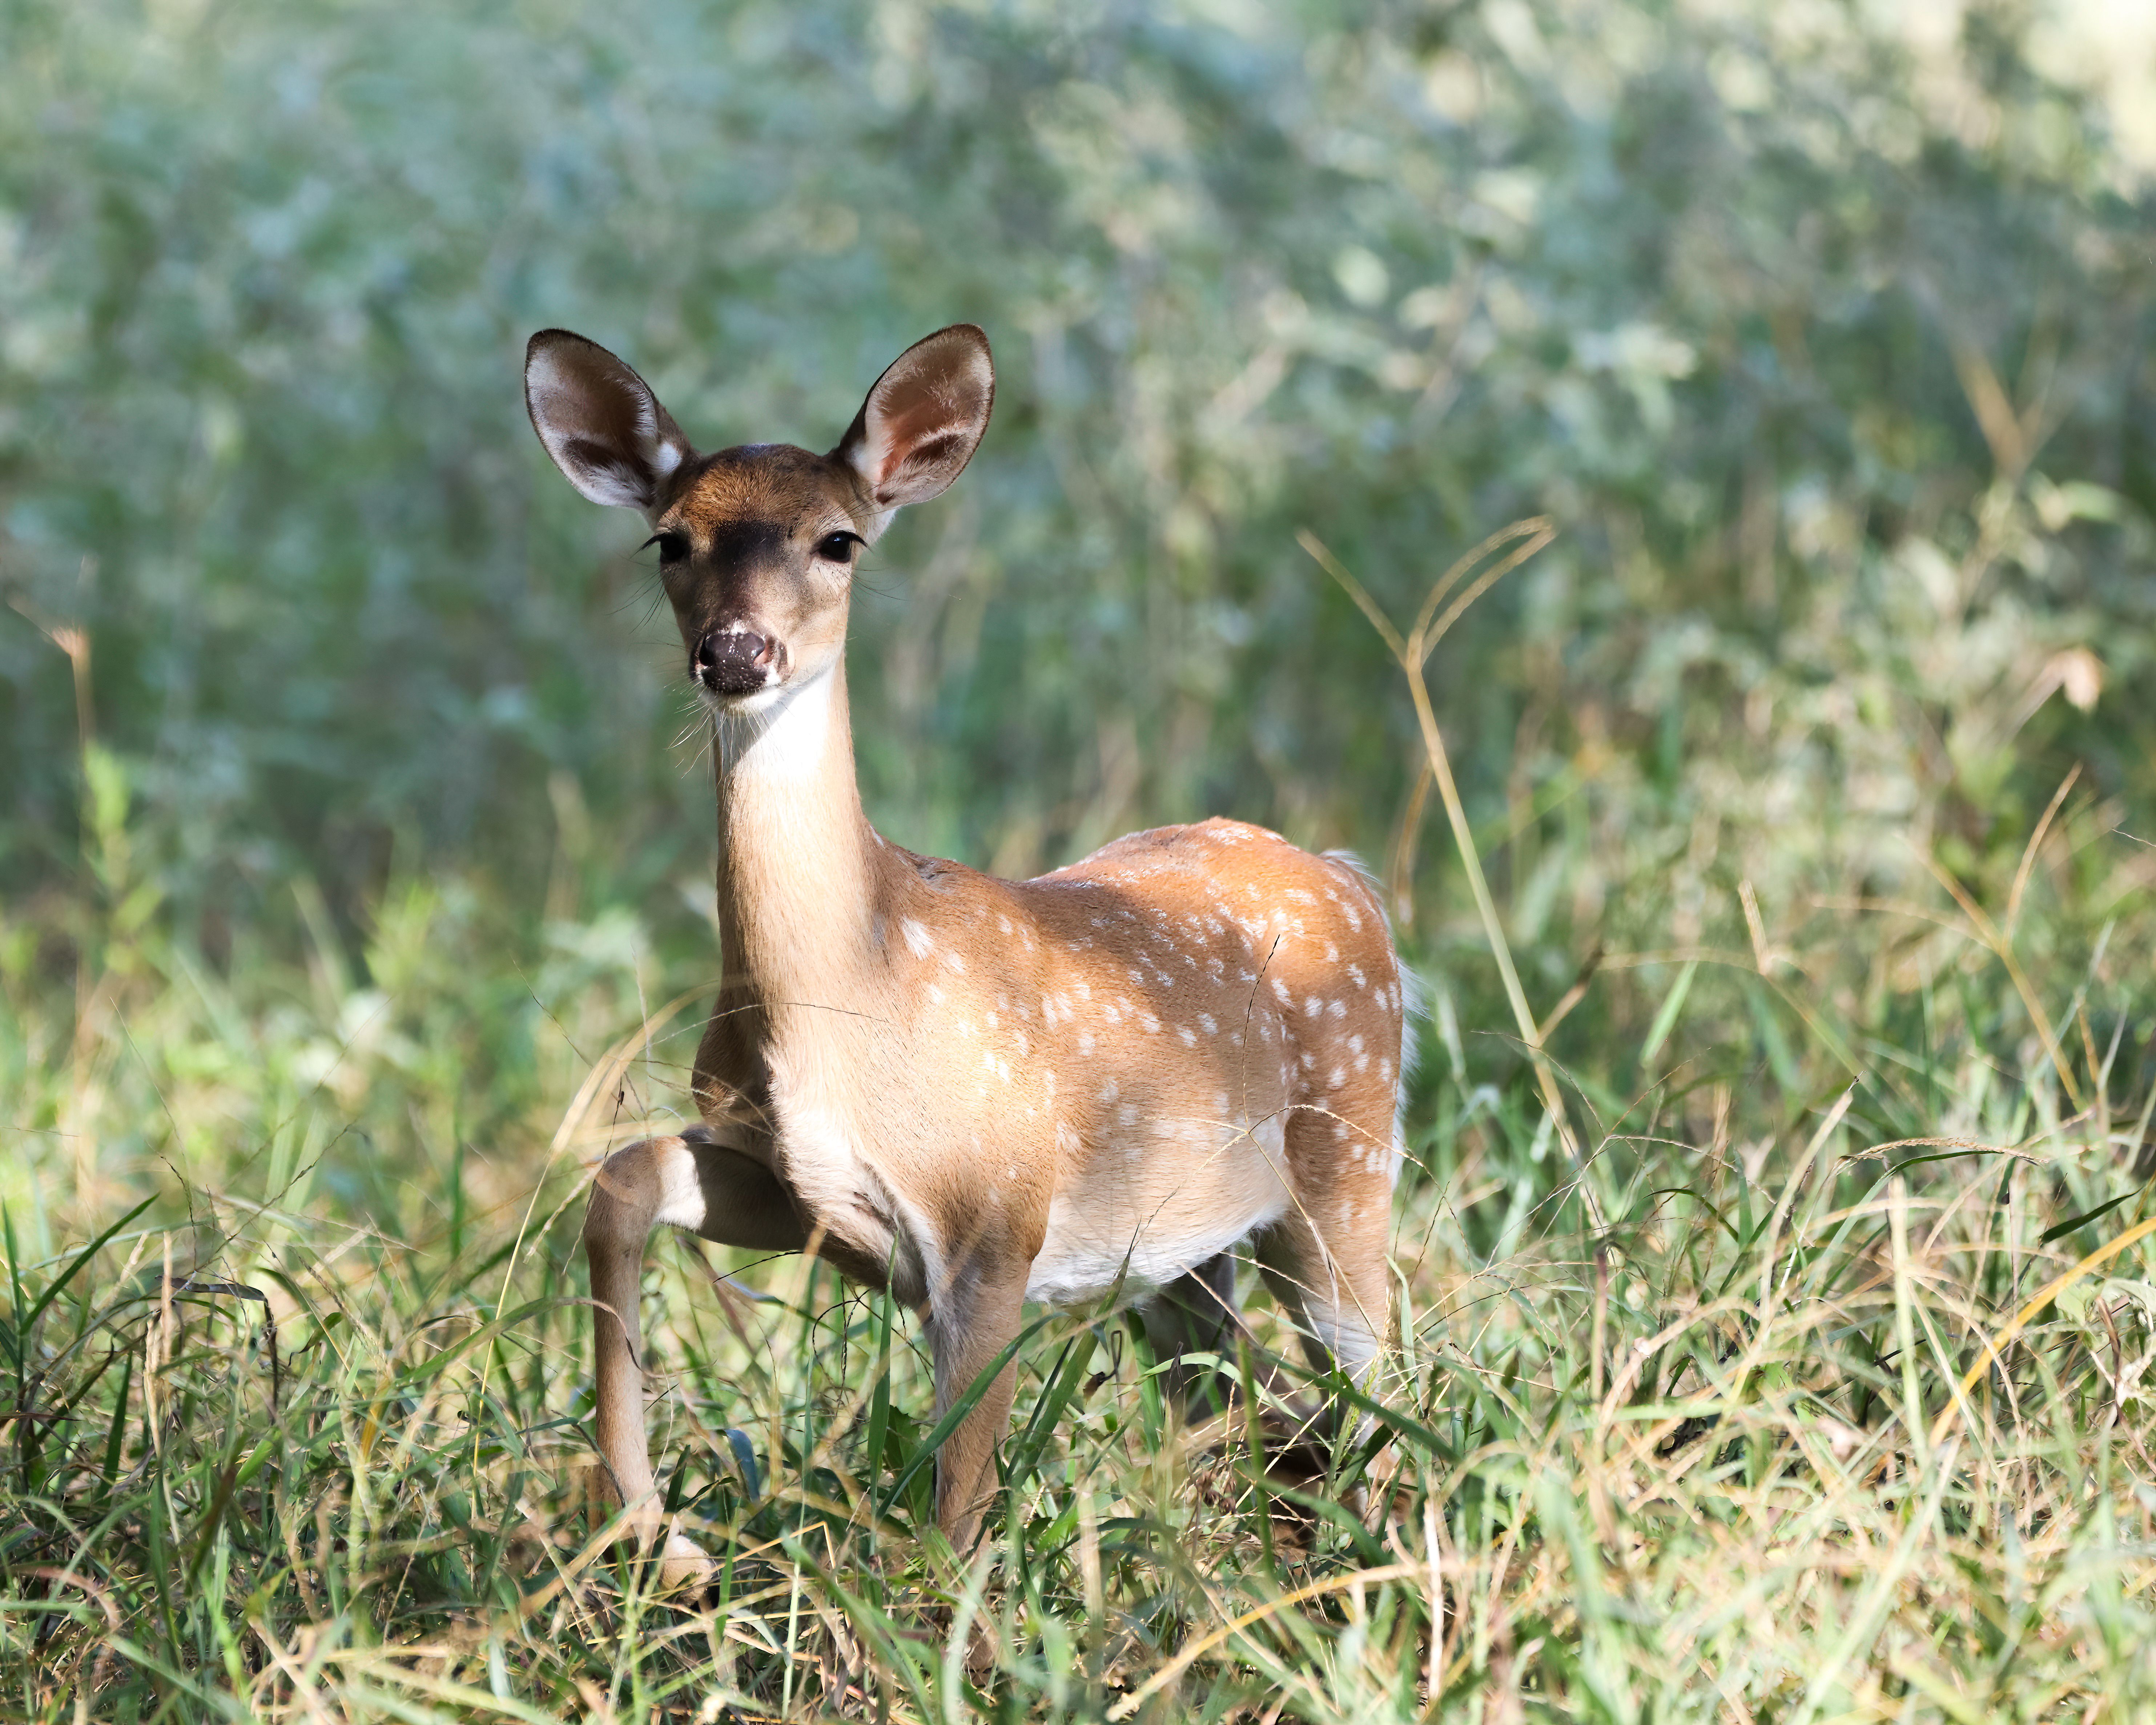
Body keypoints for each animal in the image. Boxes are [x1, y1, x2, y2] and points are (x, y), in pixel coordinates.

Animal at [524, 322, 1413, 1588]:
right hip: (1179, 1251)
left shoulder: (997, 1213)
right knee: (1238, 1396)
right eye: (669, 540)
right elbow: (623, 1179)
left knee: (1377, 1384)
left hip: (1347, 1150)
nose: (736, 652)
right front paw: (654, 1527)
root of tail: (1348, 877)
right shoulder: (800, 1184)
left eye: (838, 539)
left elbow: (956, 1510)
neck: (848, 992)